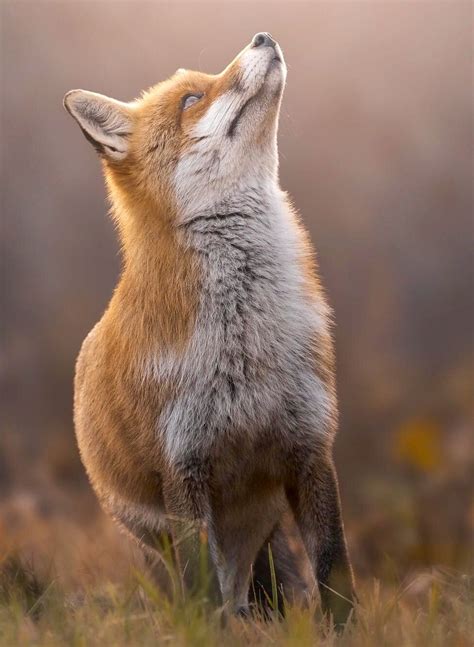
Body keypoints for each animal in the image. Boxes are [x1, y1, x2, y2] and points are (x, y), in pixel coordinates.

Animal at [64, 32, 356, 622]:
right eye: (191, 100)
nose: (263, 36)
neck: (244, 341)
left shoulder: (311, 445)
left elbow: (334, 570)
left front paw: (352, 630)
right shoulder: (183, 468)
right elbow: (204, 594)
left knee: (254, 591)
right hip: (160, 540)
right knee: (208, 594)